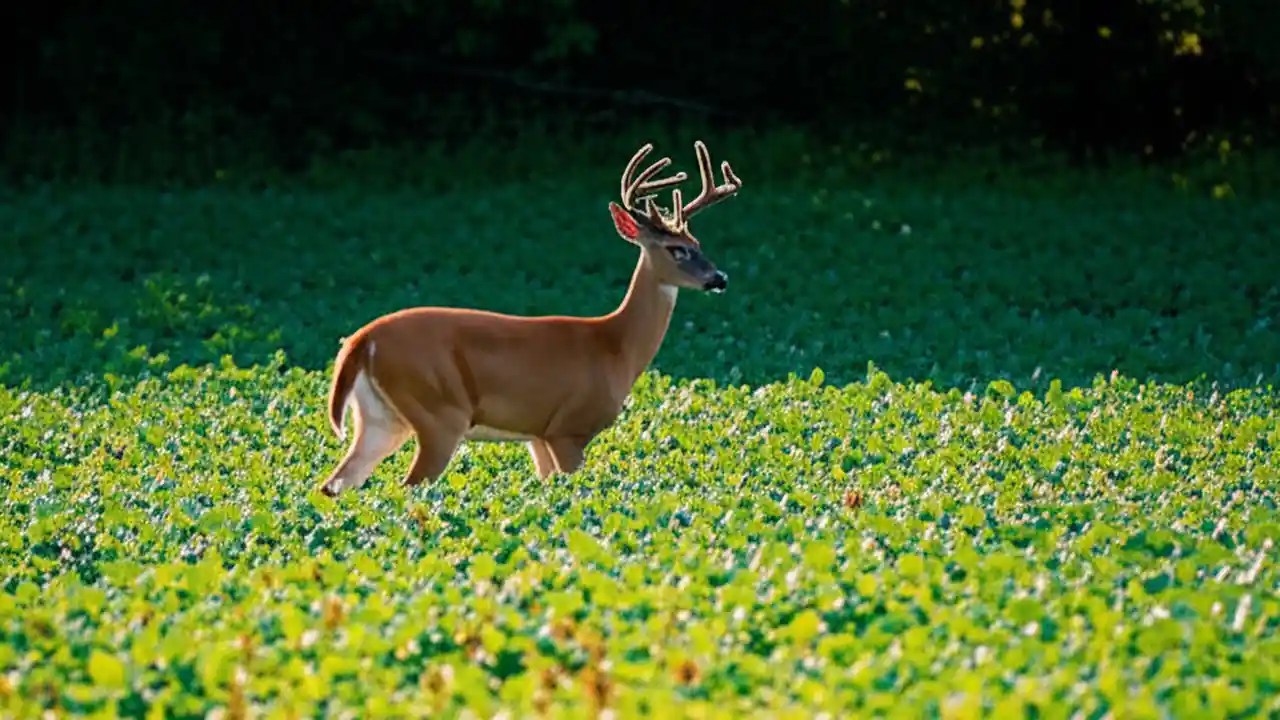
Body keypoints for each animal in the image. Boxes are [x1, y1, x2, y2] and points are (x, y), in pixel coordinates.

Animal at [317, 140, 743, 497]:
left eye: (697, 243)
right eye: (676, 249)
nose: (720, 278)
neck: (615, 347)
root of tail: (362, 341)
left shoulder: (538, 433)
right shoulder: (568, 429)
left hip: (381, 417)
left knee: (336, 483)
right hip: (438, 410)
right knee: (407, 485)